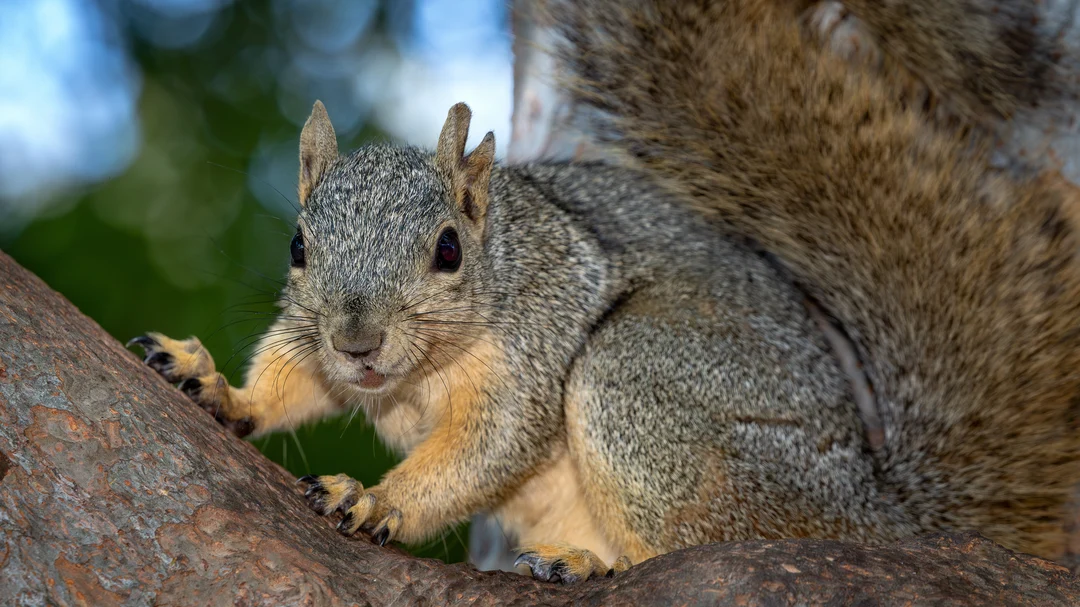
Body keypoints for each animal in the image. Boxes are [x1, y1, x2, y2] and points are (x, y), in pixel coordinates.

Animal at [130, 0, 1080, 584]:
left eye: (448, 250)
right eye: (298, 246)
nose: (358, 343)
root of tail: (877, 510)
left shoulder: (537, 340)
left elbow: (489, 446)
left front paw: (379, 498)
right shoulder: (308, 337)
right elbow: (291, 379)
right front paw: (218, 386)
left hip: (646, 387)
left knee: (703, 540)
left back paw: (602, 562)